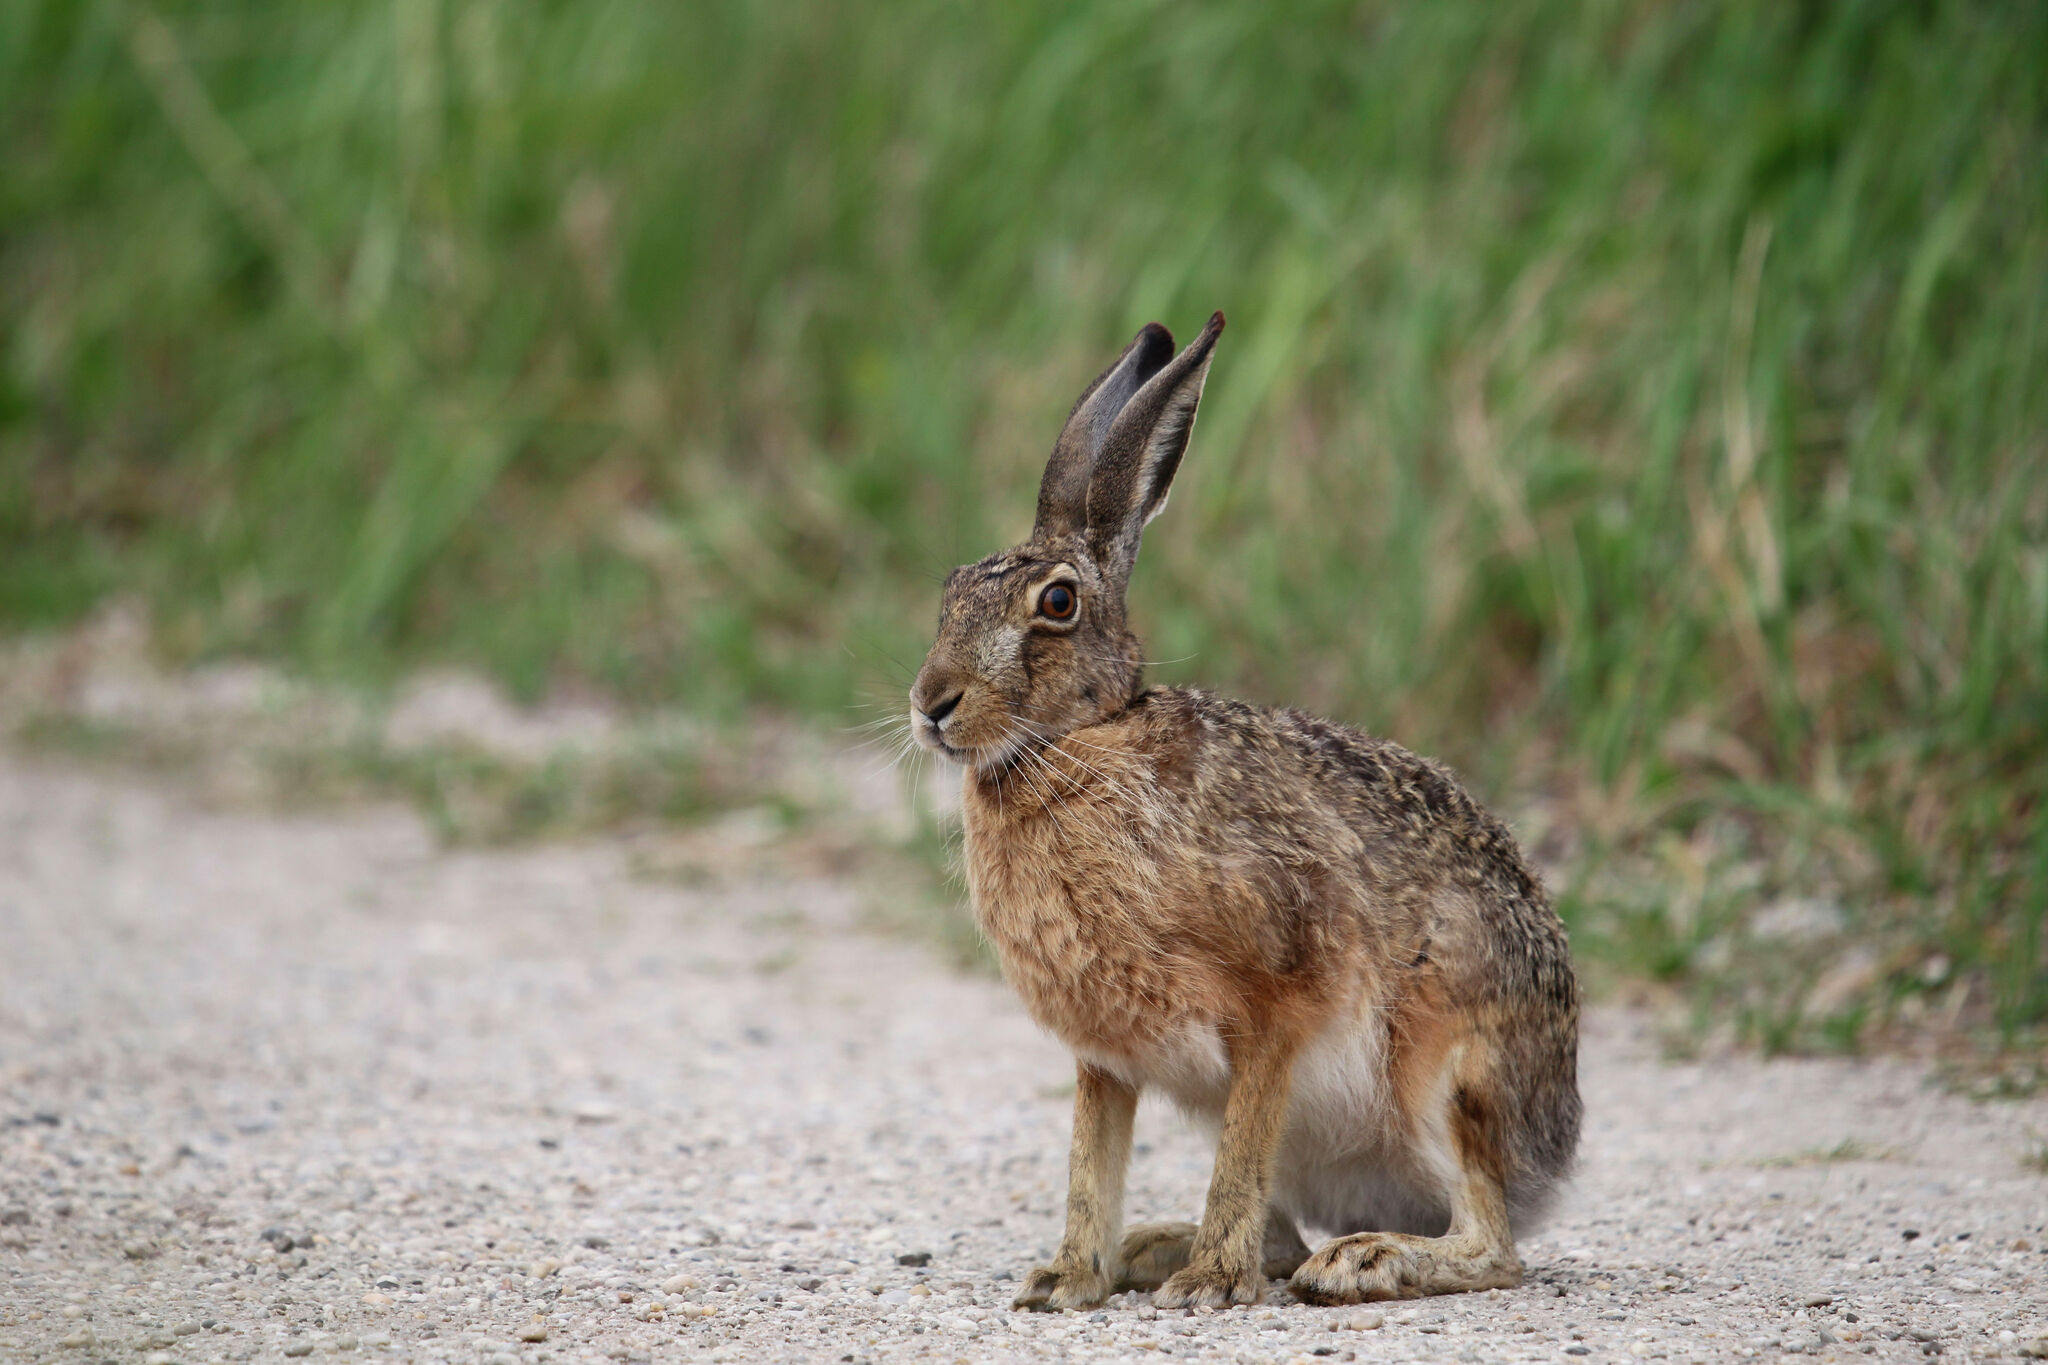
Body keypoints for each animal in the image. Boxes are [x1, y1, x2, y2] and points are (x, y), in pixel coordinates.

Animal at [908, 312, 1580, 1311]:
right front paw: (1069, 1278)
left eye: (1057, 603)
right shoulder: (1107, 1057)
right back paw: (1157, 1249)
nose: (931, 703)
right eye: (950, 589)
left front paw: (1209, 1285)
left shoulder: (1277, 1003)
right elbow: (1090, 1163)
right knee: (1289, 1220)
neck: (1077, 745)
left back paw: (1359, 1260)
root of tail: (1555, 1146)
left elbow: (1235, 1151)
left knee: (1492, 1242)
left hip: (1443, 1063)